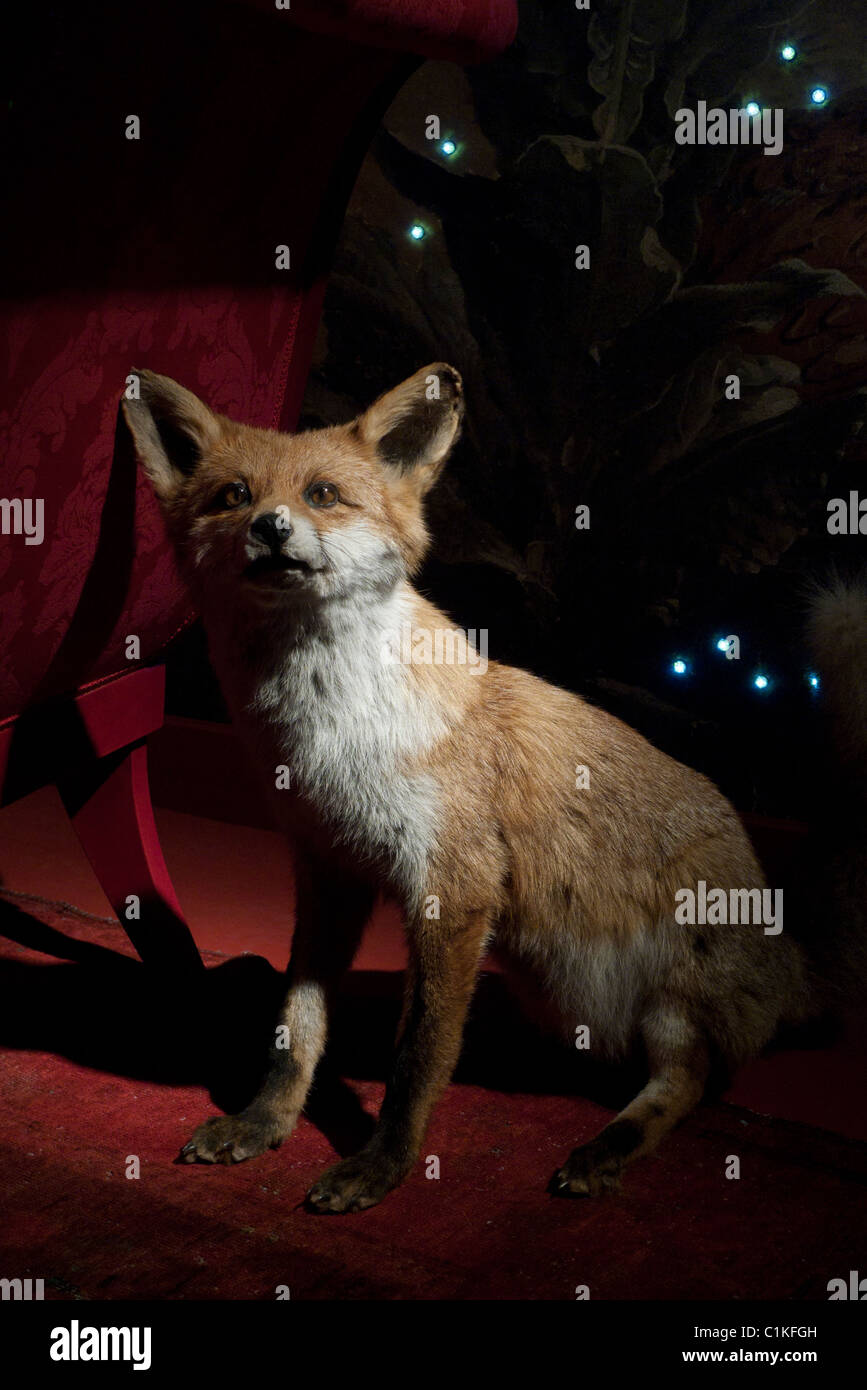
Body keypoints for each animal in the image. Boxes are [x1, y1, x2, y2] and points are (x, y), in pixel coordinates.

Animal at [124, 362, 849, 1213]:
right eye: (234, 494)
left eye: (323, 494)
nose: (270, 527)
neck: (330, 737)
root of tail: (787, 951)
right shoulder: (328, 873)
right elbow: (295, 1028)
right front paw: (264, 1121)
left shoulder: (453, 889)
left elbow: (418, 1057)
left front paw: (384, 1165)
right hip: (559, 989)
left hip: (671, 999)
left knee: (687, 1082)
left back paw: (603, 1148)